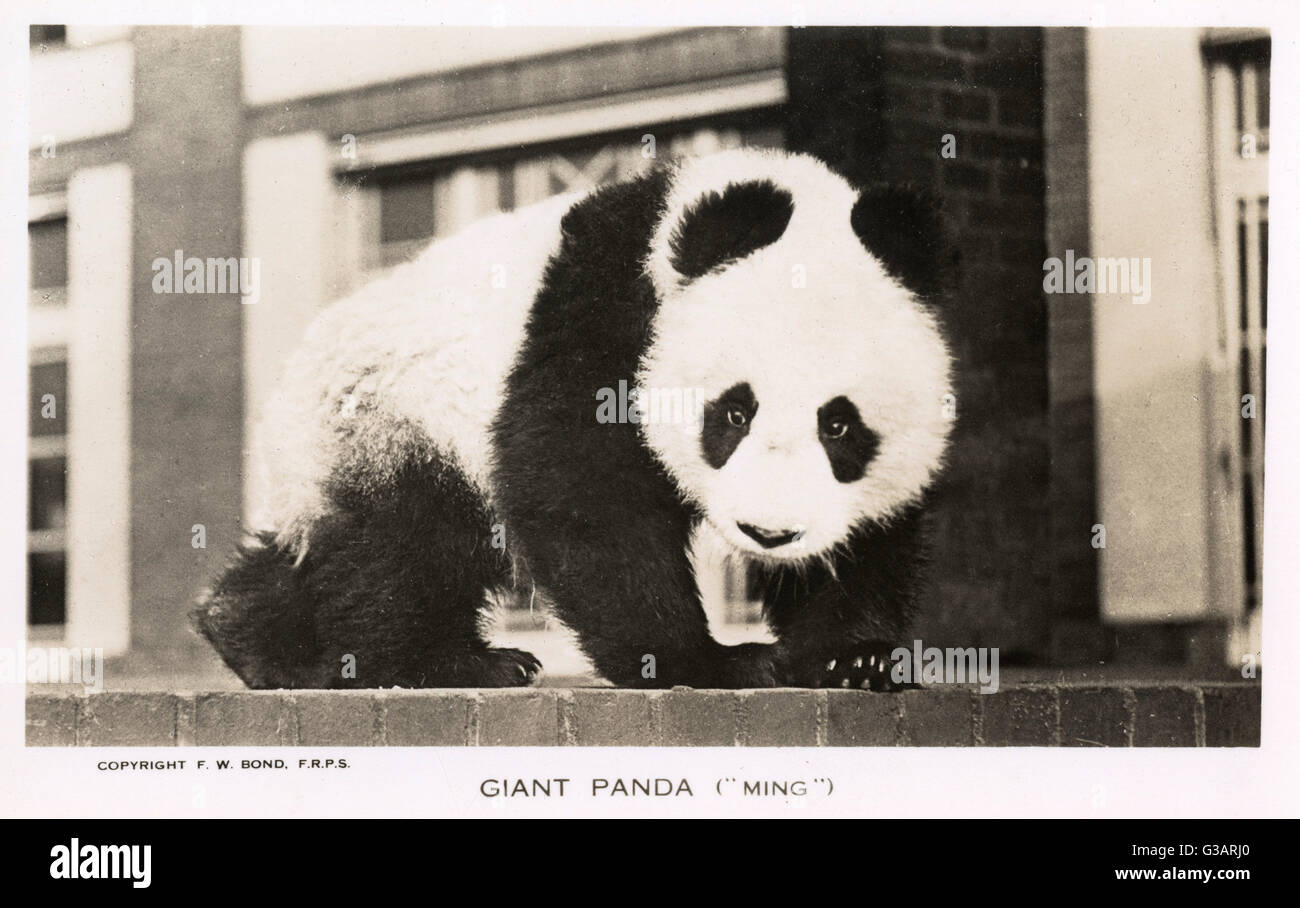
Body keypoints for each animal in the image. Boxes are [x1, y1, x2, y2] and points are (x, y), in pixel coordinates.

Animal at [193, 148, 954, 691]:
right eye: (733, 412)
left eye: (840, 426)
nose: (769, 532)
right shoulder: (606, 309)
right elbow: (580, 486)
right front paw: (706, 661)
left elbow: (873, 533)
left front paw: (853, 657)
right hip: (400, 412)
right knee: (404, 544)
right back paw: (451, 663)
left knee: (328, 548)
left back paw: (251, 636)